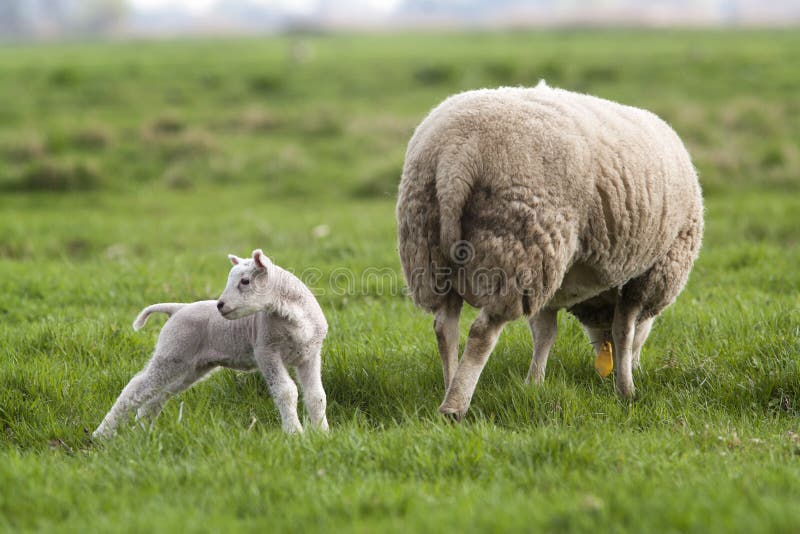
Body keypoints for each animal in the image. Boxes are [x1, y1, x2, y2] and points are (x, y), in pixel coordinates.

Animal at [93, 249, 329, 438]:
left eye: (245, 281)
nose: (220, 305)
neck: (294, 318)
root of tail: (177, 309)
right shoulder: (266, 351)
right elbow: (286, 391)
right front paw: (294, 433)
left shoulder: (310, 355)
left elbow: (316, 396)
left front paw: (322, 433)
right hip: (172, 352)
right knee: (136, 387)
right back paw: (102, 433)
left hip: (192, 366)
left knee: (158, 395)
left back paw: (142, 429)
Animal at [396, 82, 703, 420]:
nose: (636, 367)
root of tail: (458, 153)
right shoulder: (644, 276)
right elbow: (623, 332)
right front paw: (627, 390)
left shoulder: (553, 284)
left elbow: (545, 333)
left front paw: (534, 385)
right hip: (519, 244)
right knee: (482, 332)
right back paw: (455, 405)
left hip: (431, 249)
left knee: (444, 328)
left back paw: (450, 384)